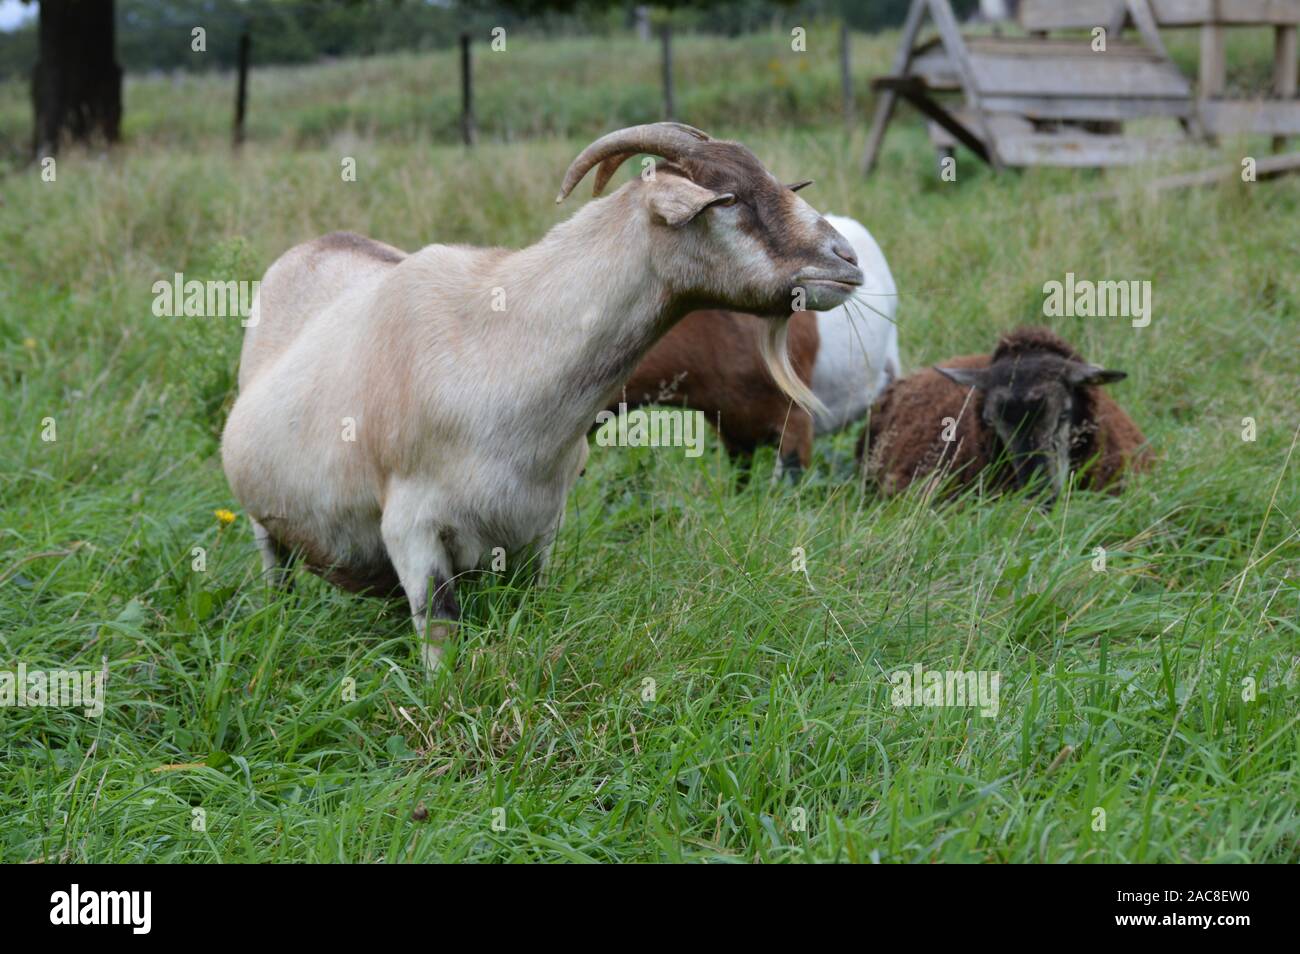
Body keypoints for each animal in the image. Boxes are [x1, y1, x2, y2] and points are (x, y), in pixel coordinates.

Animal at [220, 123, 865, 672]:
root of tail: (314, 246)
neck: (499, 352)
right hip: (263, 524)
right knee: (276, 572)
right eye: (727, 200)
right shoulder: (412, 528)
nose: (848, 261)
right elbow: (441, 635)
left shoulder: (535, 531)